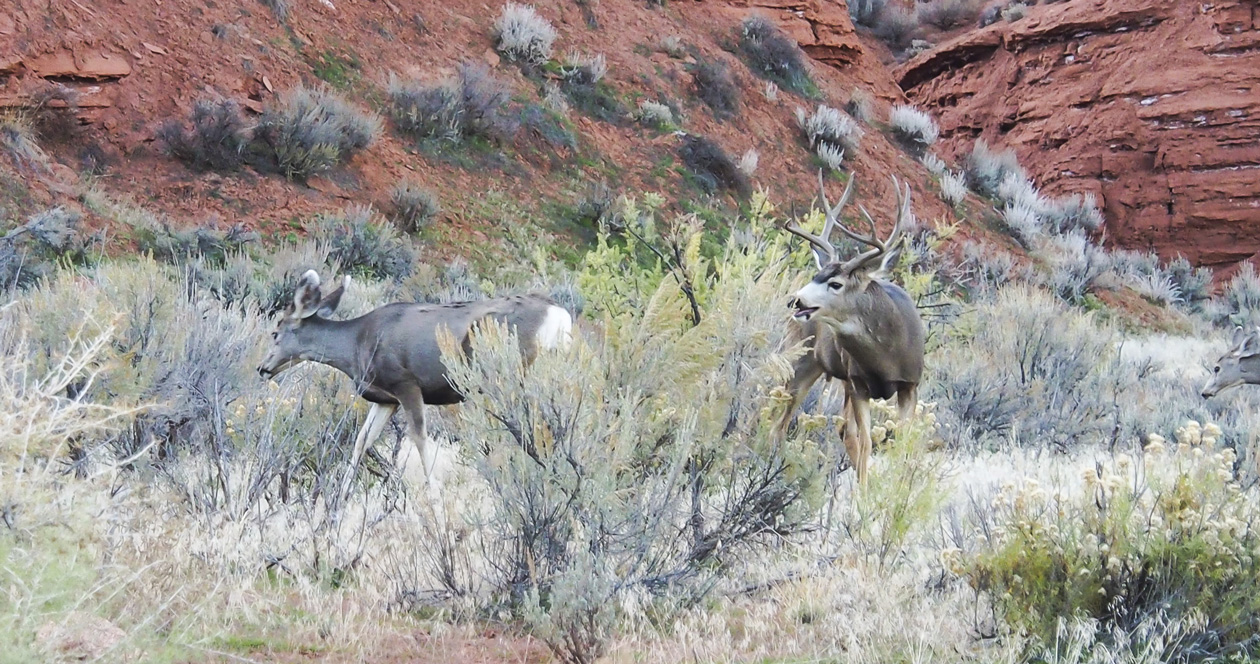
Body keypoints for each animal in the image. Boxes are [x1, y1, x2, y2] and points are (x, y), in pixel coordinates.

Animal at [257, 270, 573, 501]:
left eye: (275, 332)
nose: (262, 368)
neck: (357, 344)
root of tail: (560, 318)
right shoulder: (386, 398)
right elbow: (362, 440)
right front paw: (340, 494)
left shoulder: (406, 383)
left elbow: (419, 438)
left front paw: (433, 494)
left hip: (513, 376)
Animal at [773, 172, 926, 484]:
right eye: (816, 275)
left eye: (835, 283)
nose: (796, 300)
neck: (887, 355)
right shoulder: (859, 384)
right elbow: (866, 442)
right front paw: (865, 493)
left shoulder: (910, 384)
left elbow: (903, 441)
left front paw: (900, 486)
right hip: (802, 359)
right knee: (781, 418)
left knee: (837, 428)